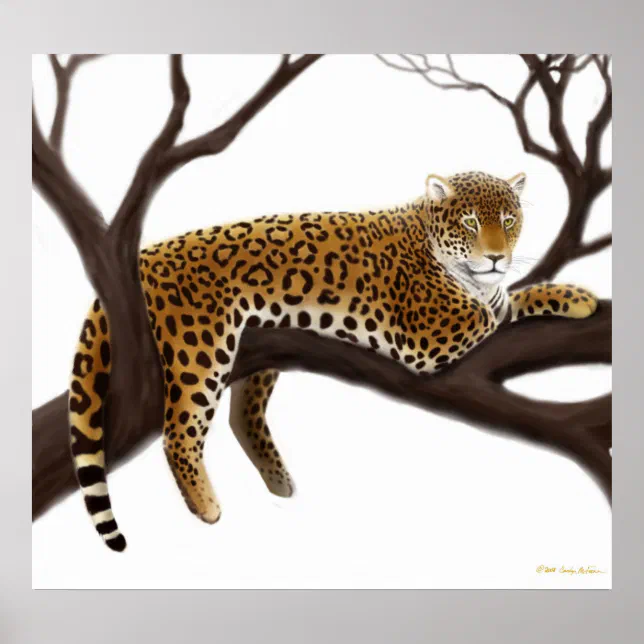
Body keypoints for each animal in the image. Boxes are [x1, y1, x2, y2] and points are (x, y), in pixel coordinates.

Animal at [68, 171, 599, 551]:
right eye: (470, 222)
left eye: (508, 220)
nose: (495, 257)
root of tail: (145, 257)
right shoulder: (428, 334)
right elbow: (492, 309)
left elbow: (511, 298)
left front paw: (575, 296)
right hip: (200, 348)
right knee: (180, 433)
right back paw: (207, 506)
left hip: (256, 349)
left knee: (242, 415)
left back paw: (278, 479)